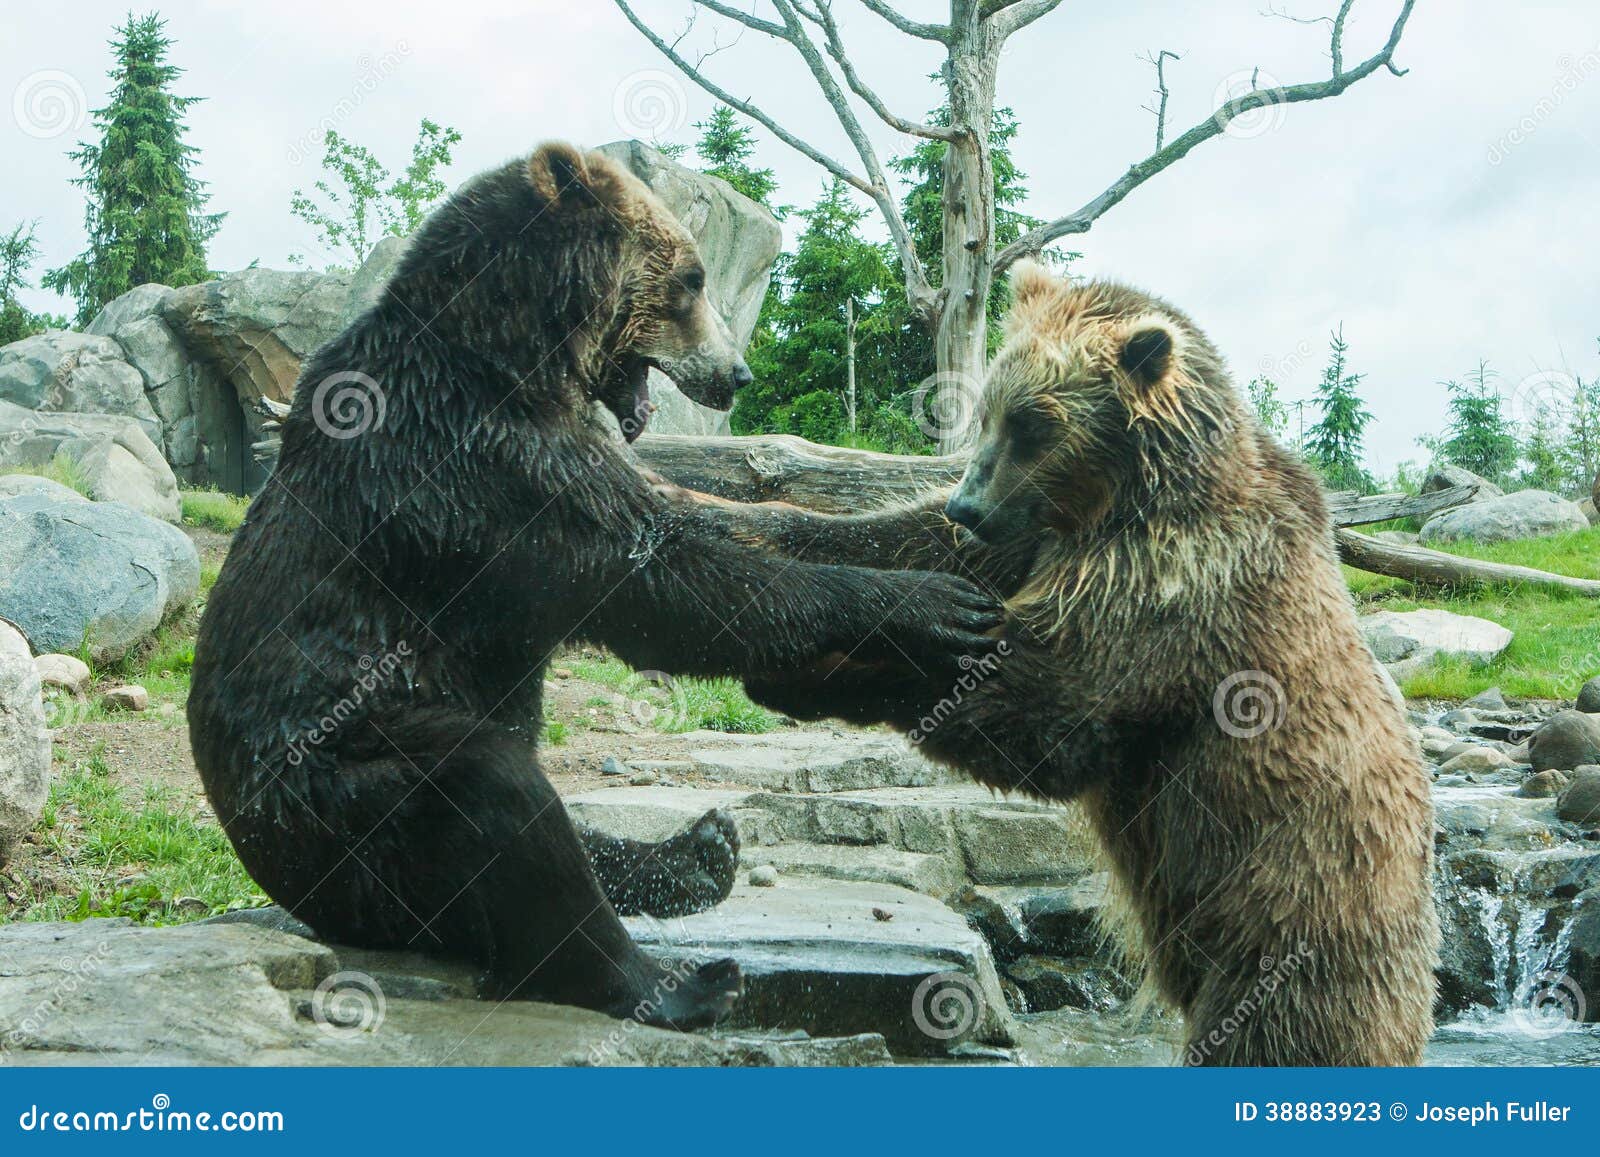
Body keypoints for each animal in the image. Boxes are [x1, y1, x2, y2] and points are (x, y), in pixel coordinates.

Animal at [188, 142, 1002, 1029]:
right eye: (692, 278)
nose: (737, 372)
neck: (515, 355)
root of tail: (263, 861)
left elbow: (714, 527)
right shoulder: (488, 472)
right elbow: (666, 583)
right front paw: (930, 605)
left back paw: (695, 853)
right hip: (334, 796)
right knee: (495, 794)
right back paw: (675, 979)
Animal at [689, 262, 1439, 1064]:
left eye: (1034, 423)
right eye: (990, 409)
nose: (967, 506)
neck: (1118, 501)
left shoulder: (1174, 585)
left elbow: (1048, 706)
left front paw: (810, 671)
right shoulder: (1029, 539)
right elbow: (891, 539)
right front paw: (727, 517)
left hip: (1297, 906)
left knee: (1283, 1030)